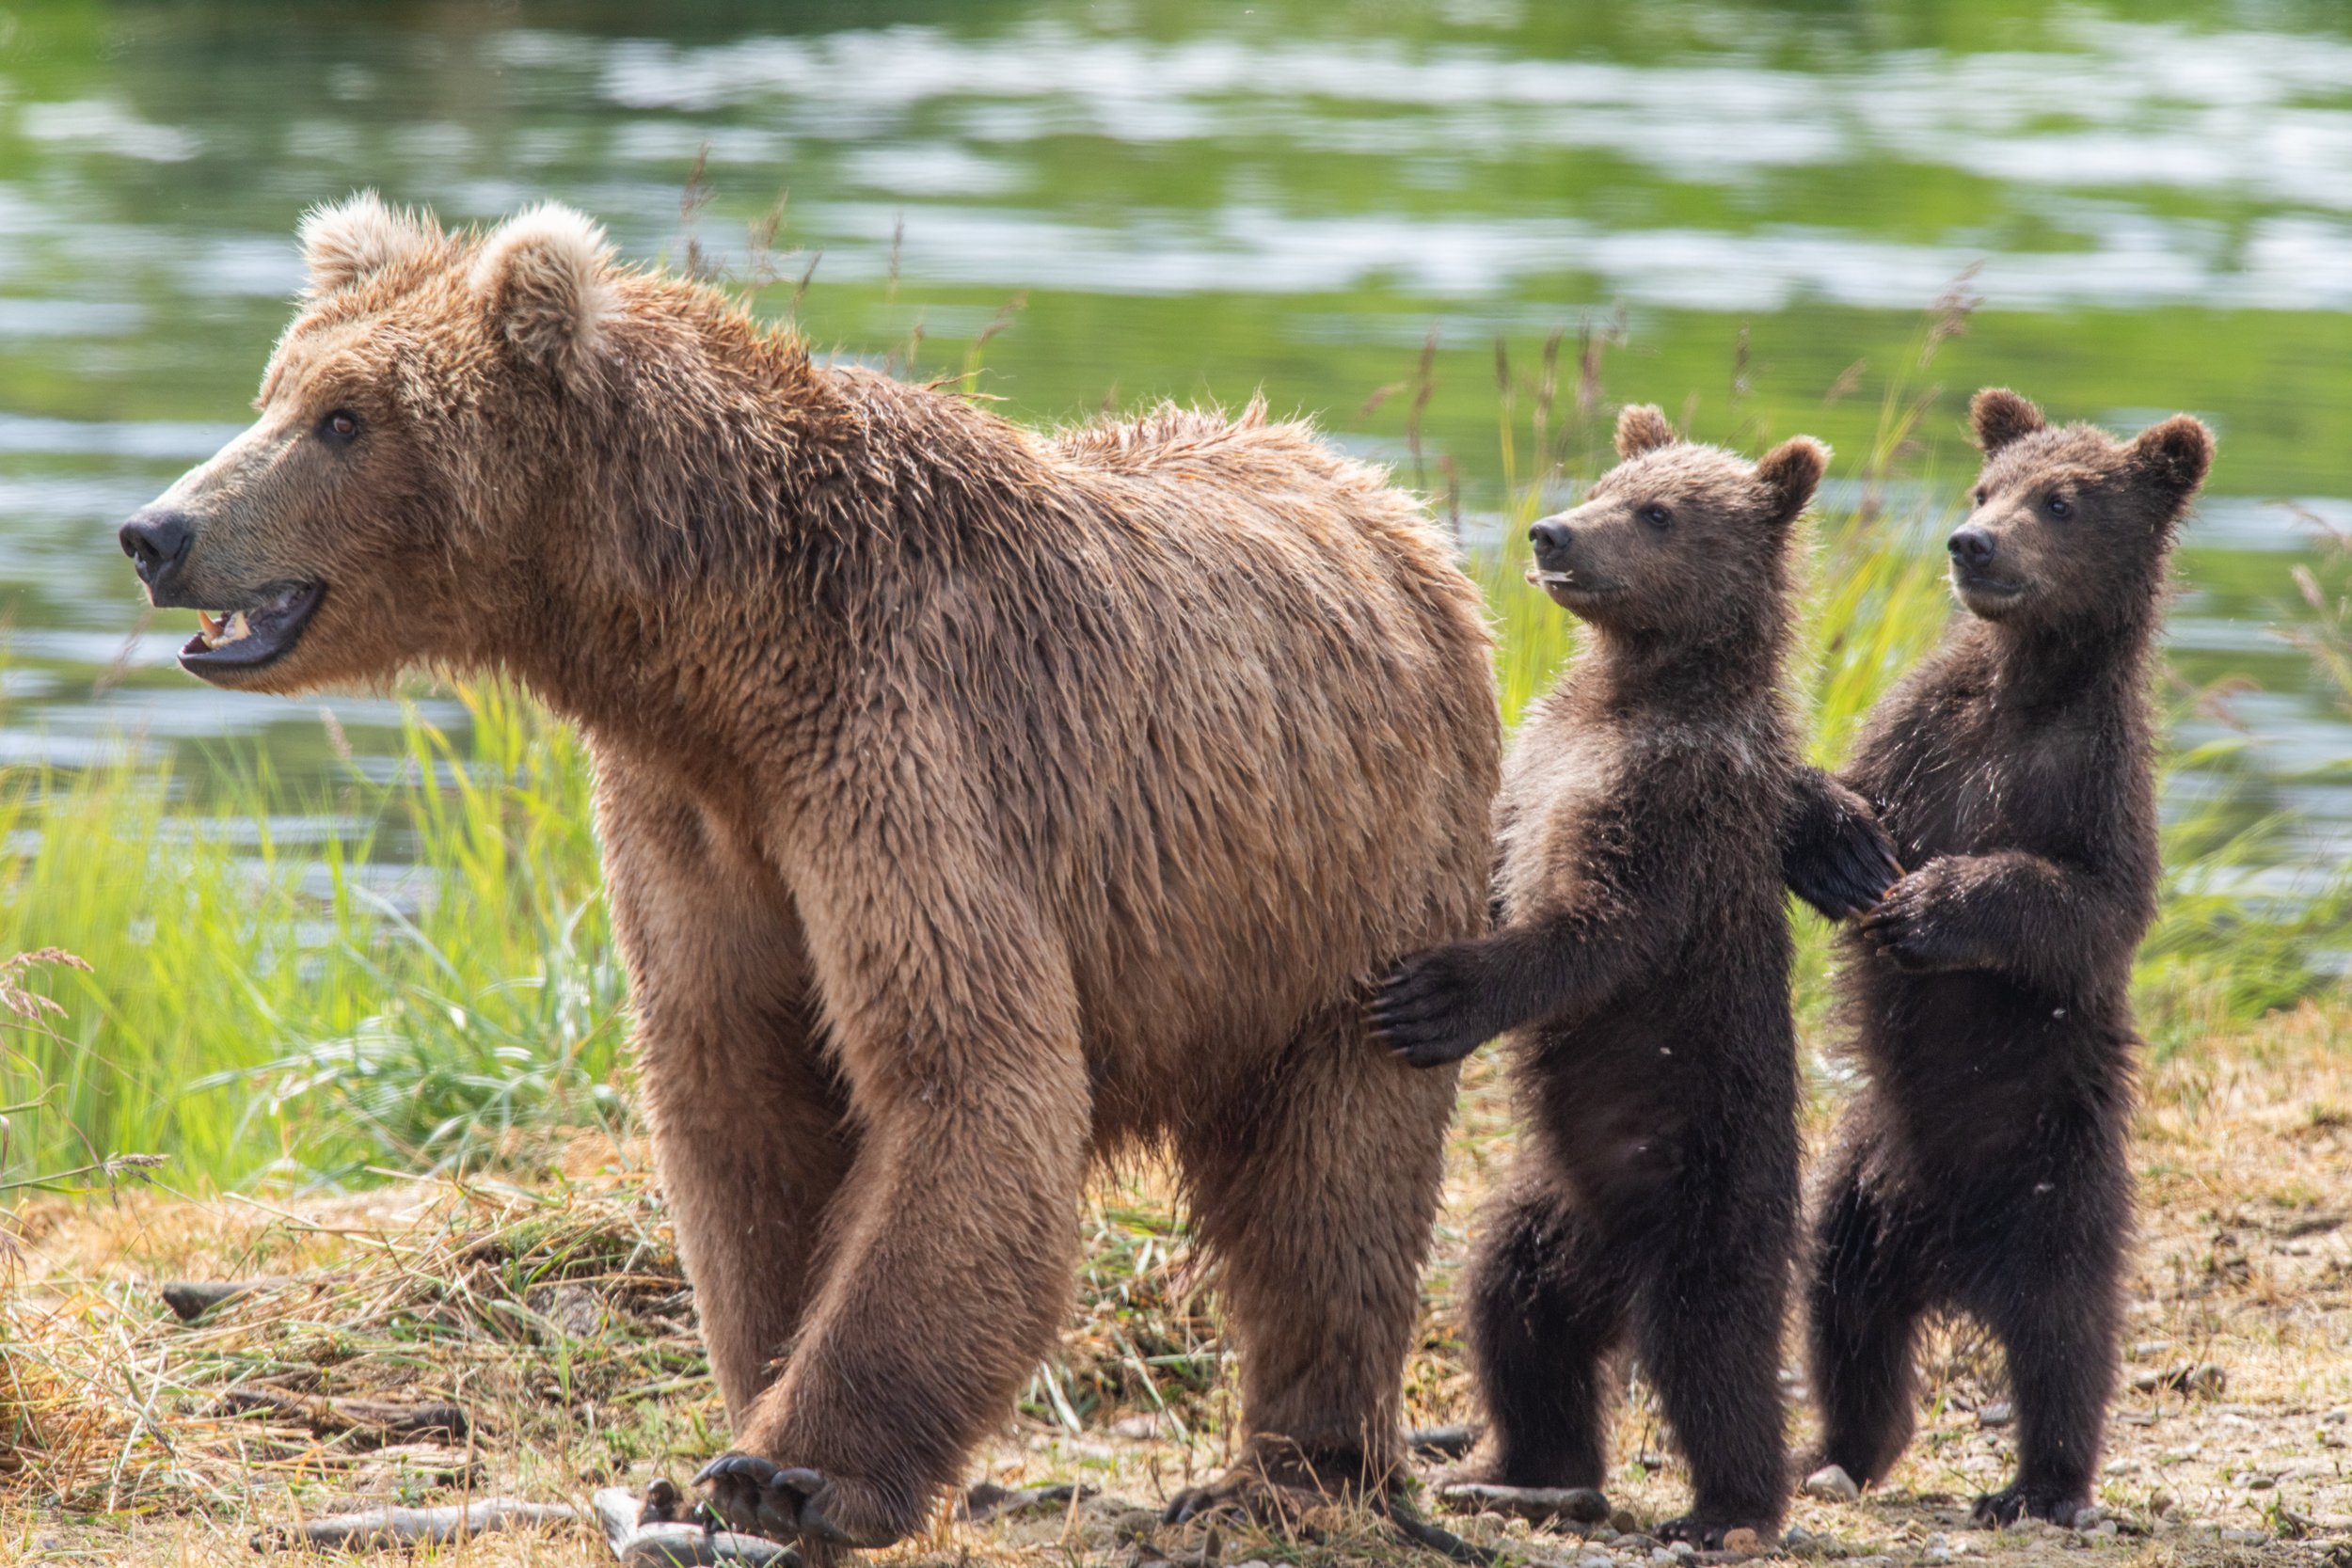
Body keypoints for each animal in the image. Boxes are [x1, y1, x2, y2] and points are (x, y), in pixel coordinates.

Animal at [115, 195, 1502, 1552]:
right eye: (276, 387)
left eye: (346, 416)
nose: (156, 530)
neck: (716, 660)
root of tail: (1382, 502)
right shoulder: (695, 824)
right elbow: (737, 1099)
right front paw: (728, 1437)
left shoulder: (906, 752)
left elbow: (963, 1071)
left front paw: (793, 1473)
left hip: (1357, 895)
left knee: (1333, 1178)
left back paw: (1297, 1466)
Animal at [1369, 405, 1829, 1545]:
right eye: (1605, 484)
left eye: (1658, 512)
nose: (1552, 533)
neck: (1636, 689)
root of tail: (1616, 1268)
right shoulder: (1542, 763)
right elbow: (1504, 868)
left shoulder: (1669, 811)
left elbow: (1594, 932)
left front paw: (1433, 994)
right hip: (1555, 1207)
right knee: (1515, 1309)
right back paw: (1517, 1466)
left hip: (1706, 1179)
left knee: (1710, 1344)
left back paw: (1729, 1506)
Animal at [1790, 388, 2212, 1528]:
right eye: (1987, 485)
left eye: (2060, 500)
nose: (1971, 542)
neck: (2025, 686)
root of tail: (1949, 1262)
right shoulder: (1922, 732)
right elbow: (1838, 789)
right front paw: (1842, 849)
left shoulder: (2095, 784)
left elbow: (2083, 907)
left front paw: (1934, 903)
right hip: (1859, 1183)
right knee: (1841, 1312)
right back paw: (1832, 1449)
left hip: (2055, 1184)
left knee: (2065, 1340)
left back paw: (2040, 1483)